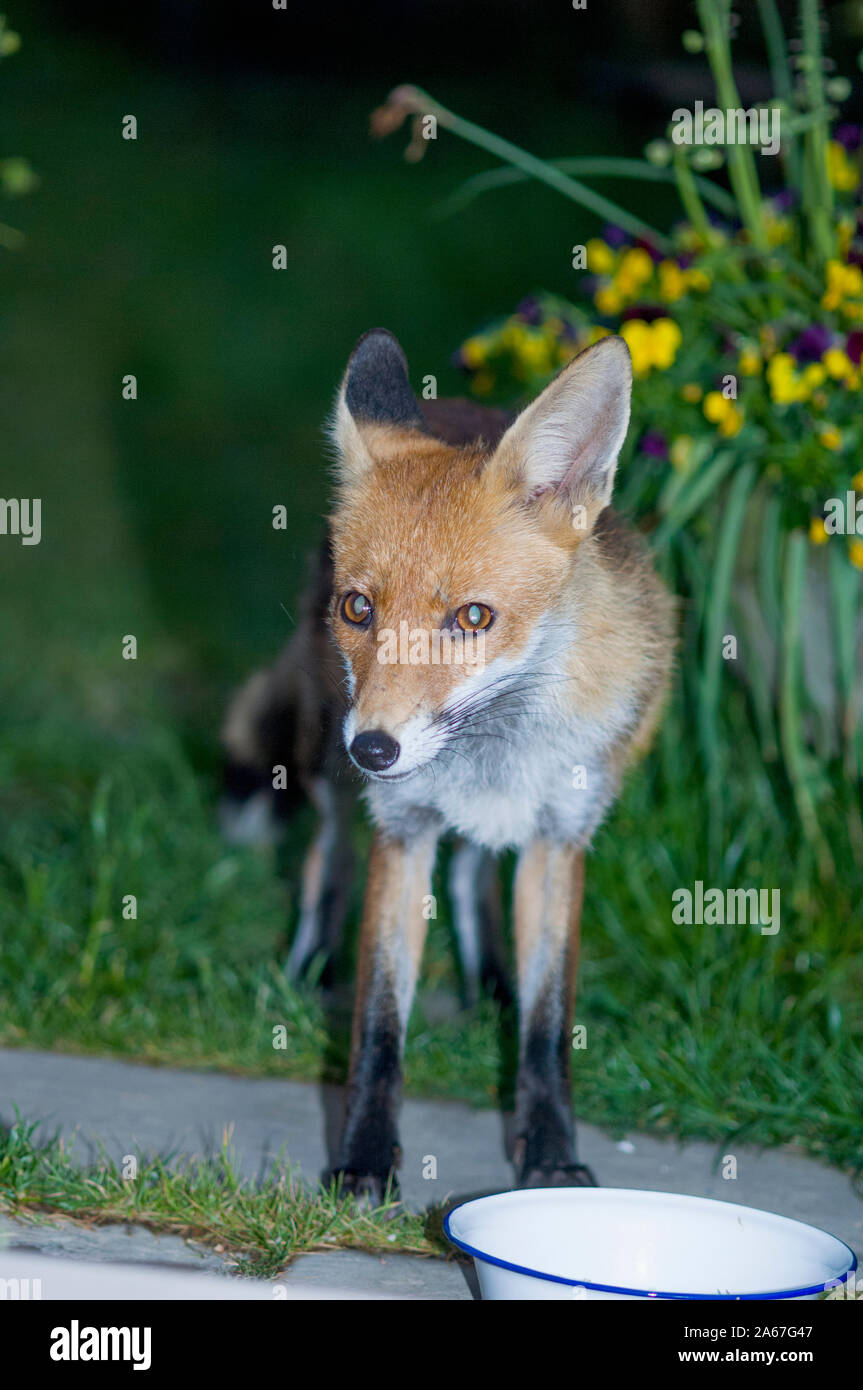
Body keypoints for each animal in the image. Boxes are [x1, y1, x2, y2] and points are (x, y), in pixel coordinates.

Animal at [222, 327, 675, 1201]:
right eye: (358, 607)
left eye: (471, 618)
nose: (372, 749)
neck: (491, 746)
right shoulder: (401, 832)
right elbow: (377, 1023)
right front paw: (363, 1163)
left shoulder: (559, 838)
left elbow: (547, 1026)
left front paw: (549, 1158)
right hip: (330, 773)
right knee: (326, 859)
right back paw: (306, 968)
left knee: (471, 877)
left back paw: (491, 989)